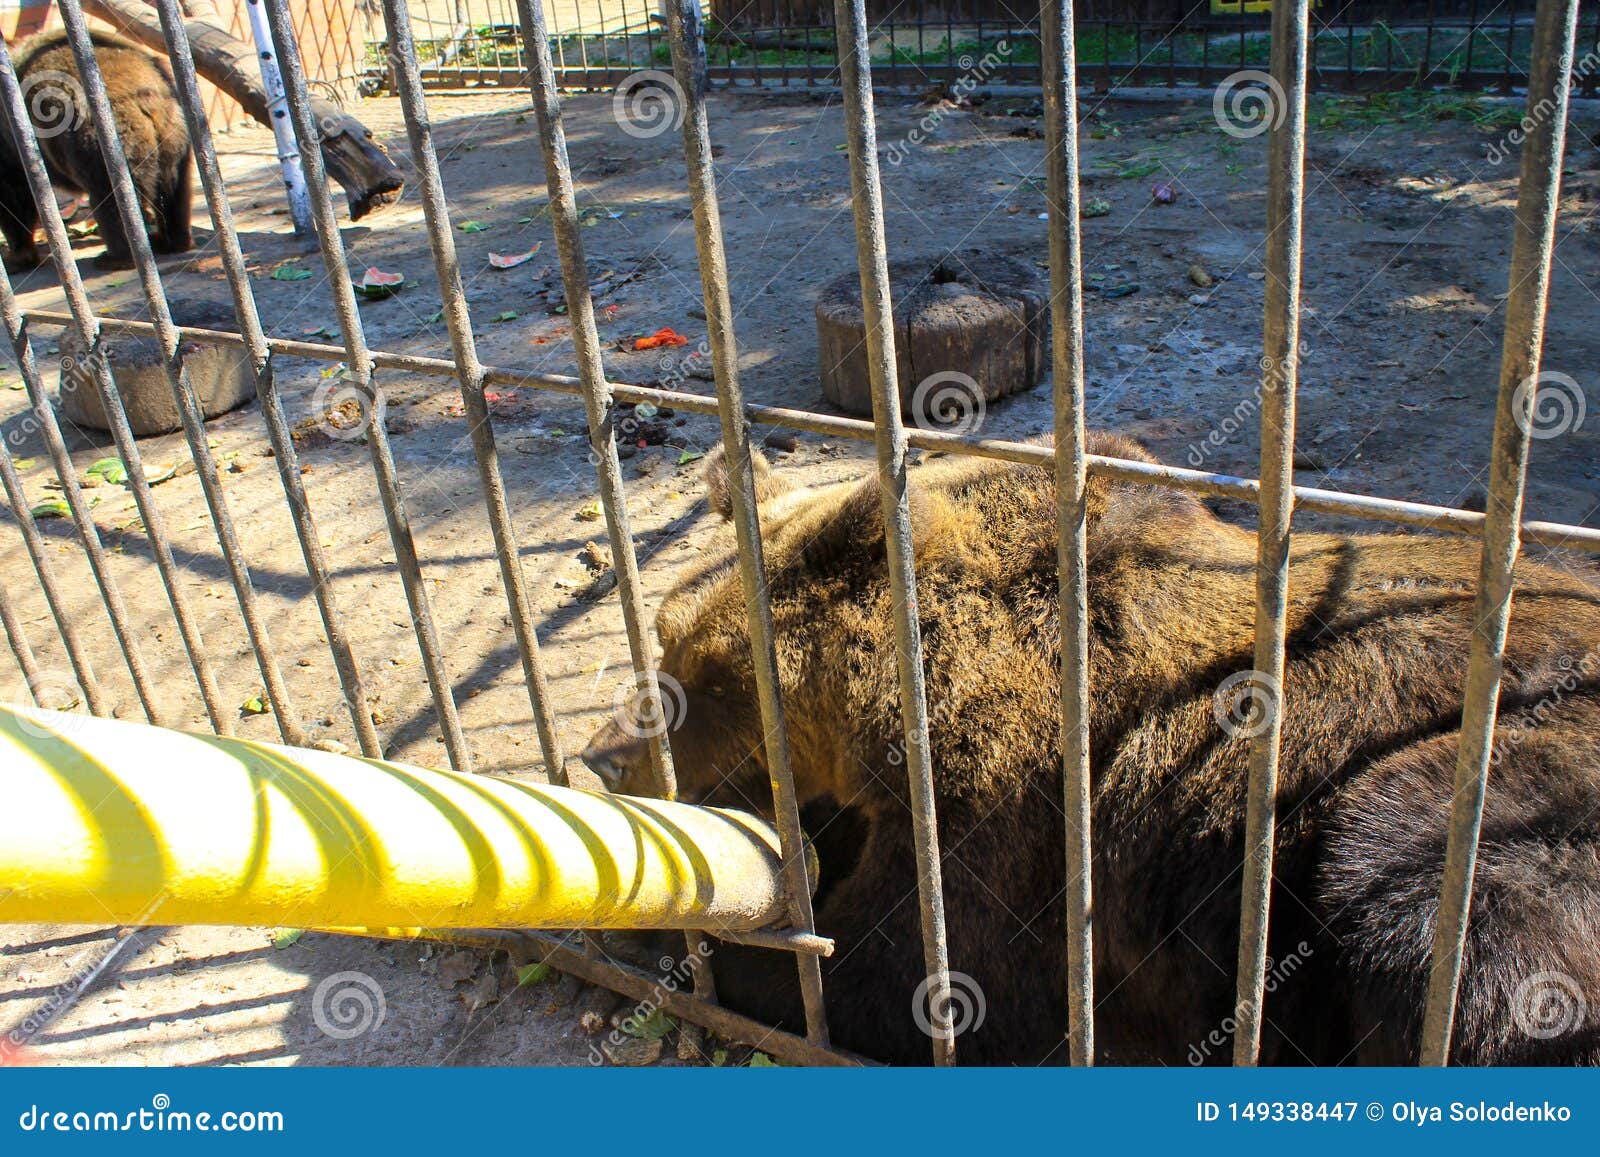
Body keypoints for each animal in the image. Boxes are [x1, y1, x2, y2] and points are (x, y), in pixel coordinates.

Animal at [0, 29, 192, 270]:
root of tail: (146, 95)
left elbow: (14, 202)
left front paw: (17, 257)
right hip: (175, 134)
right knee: (174, 189)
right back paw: (172, 241)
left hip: (97, 140)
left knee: (111, 198)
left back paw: (116, 257)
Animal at [581, 432, 1600, 1066]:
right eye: (664, 636)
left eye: (703, 673)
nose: (598, 754)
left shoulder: (1008, 823)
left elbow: (899, 975)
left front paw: (669, 935)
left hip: (1478, 792)